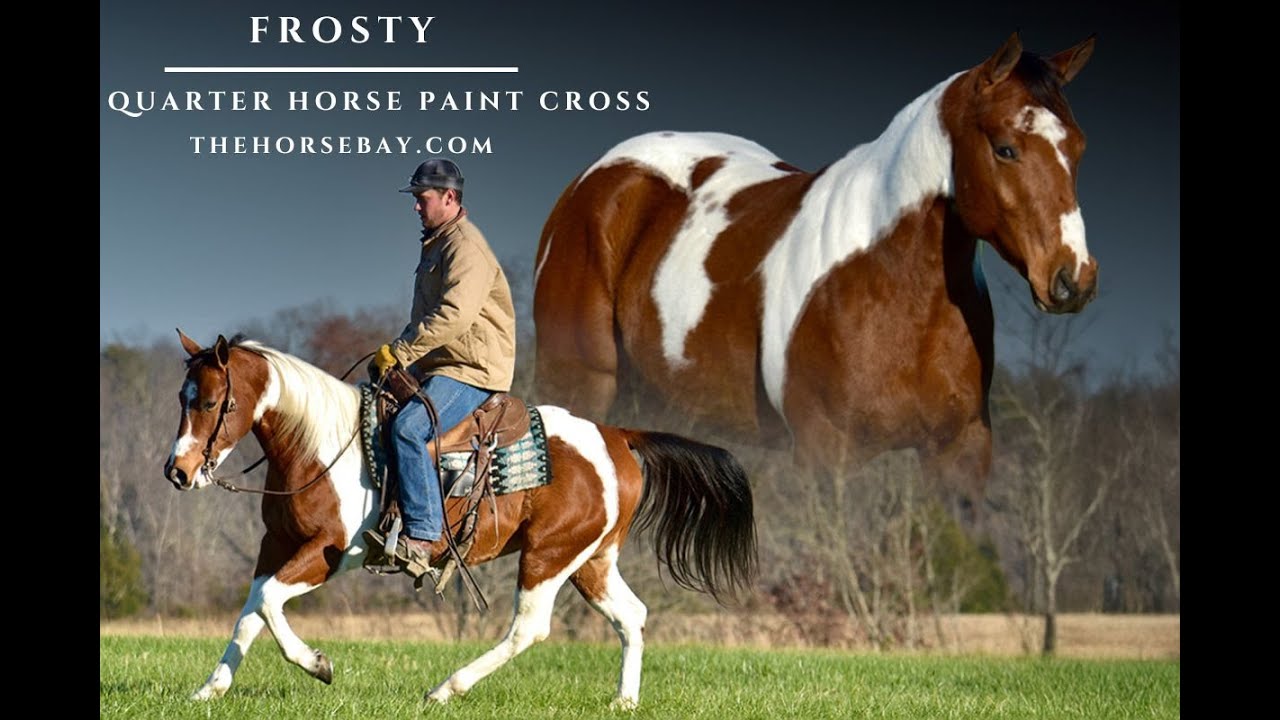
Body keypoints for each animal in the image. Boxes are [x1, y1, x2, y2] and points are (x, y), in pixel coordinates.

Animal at [161, 331, 756, 708]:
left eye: (212, 401)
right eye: (182, 397)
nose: (178, 471)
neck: (320, 444)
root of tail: (617, 437)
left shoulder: (331, 553)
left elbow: (268, 604)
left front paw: (318, 665)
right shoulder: (276, 545)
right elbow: (250, 612)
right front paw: (210, 690)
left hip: (549, 555)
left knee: (530, 628)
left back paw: (446, 689)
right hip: (592, 560)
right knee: (632, 615)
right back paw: (624, 701)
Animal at [532, 33, 1100, 504]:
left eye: (1078, 146)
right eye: (1006, 148)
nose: (1072, 278)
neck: (895, 289)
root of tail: (596, 178)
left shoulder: (960, 451)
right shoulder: (827, 453)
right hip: (582, 385)